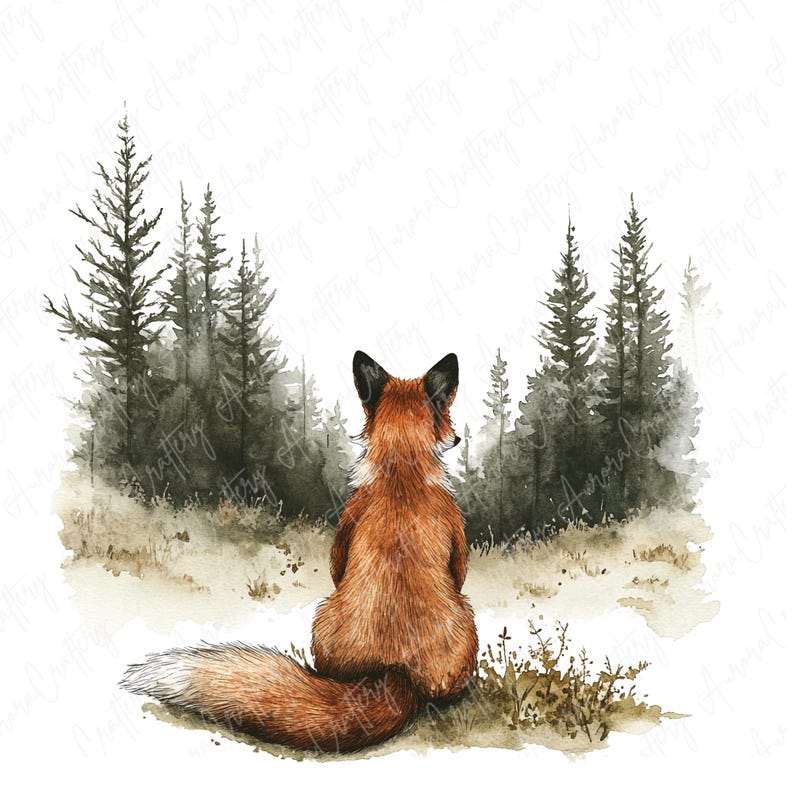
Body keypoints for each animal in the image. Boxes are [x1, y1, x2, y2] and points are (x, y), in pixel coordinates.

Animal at [121, 351, 478, 753]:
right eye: (447, 412)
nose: (458, 437)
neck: (402, 470)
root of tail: (392, 669)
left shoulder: (352, 519)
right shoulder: (445, 527)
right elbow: (456, 567)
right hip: (457, 615)